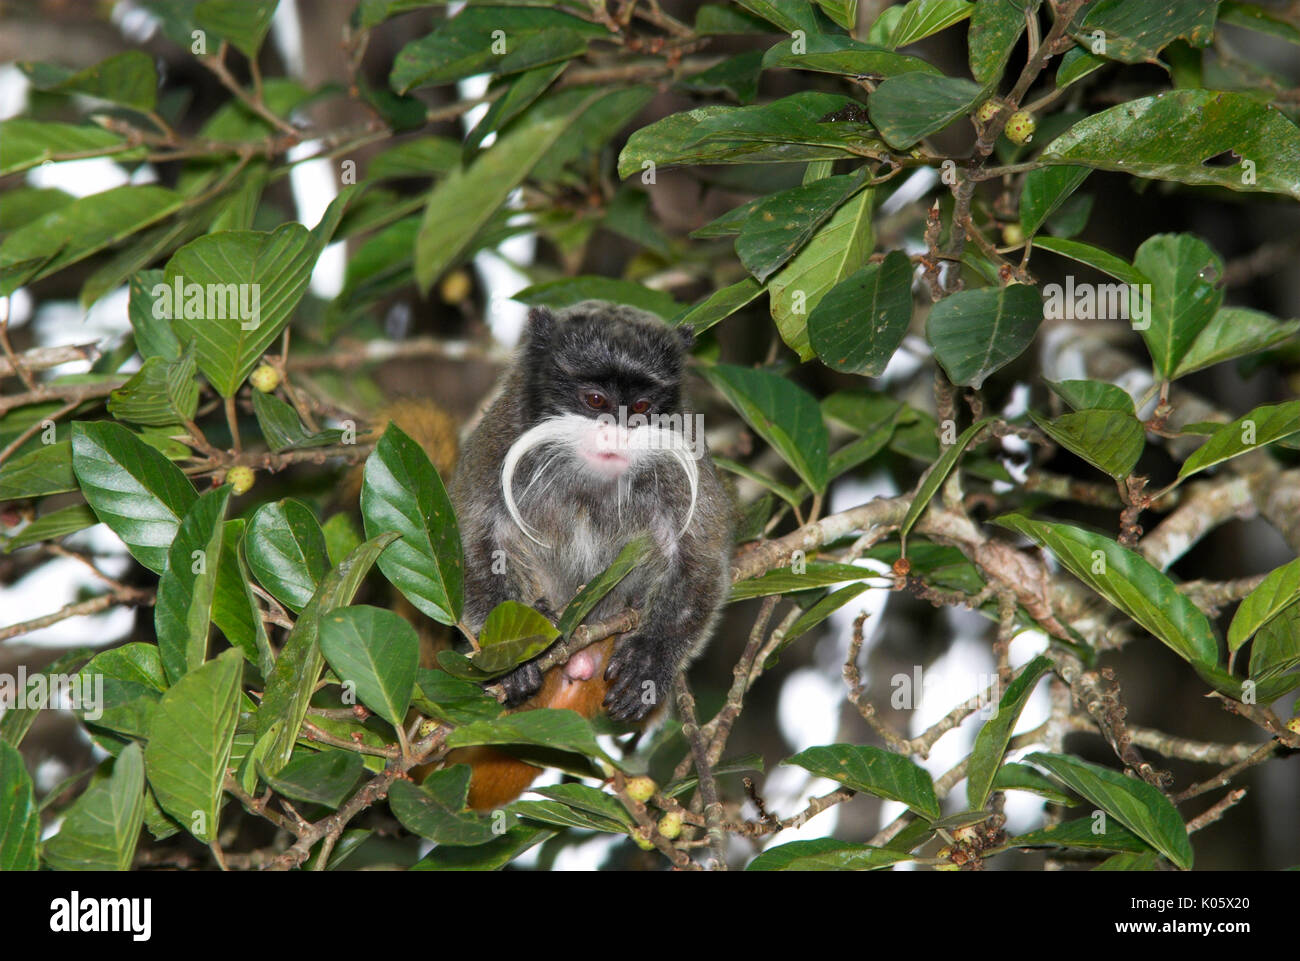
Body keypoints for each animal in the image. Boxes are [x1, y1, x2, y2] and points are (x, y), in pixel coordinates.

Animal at [448, 300, 733, 809]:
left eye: (639, 408)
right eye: (596, 401)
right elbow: (476, 539)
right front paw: (514, 660)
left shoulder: (686, 460)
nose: (615, 435)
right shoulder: (498, 442)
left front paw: (651, 660)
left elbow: (701, 557)